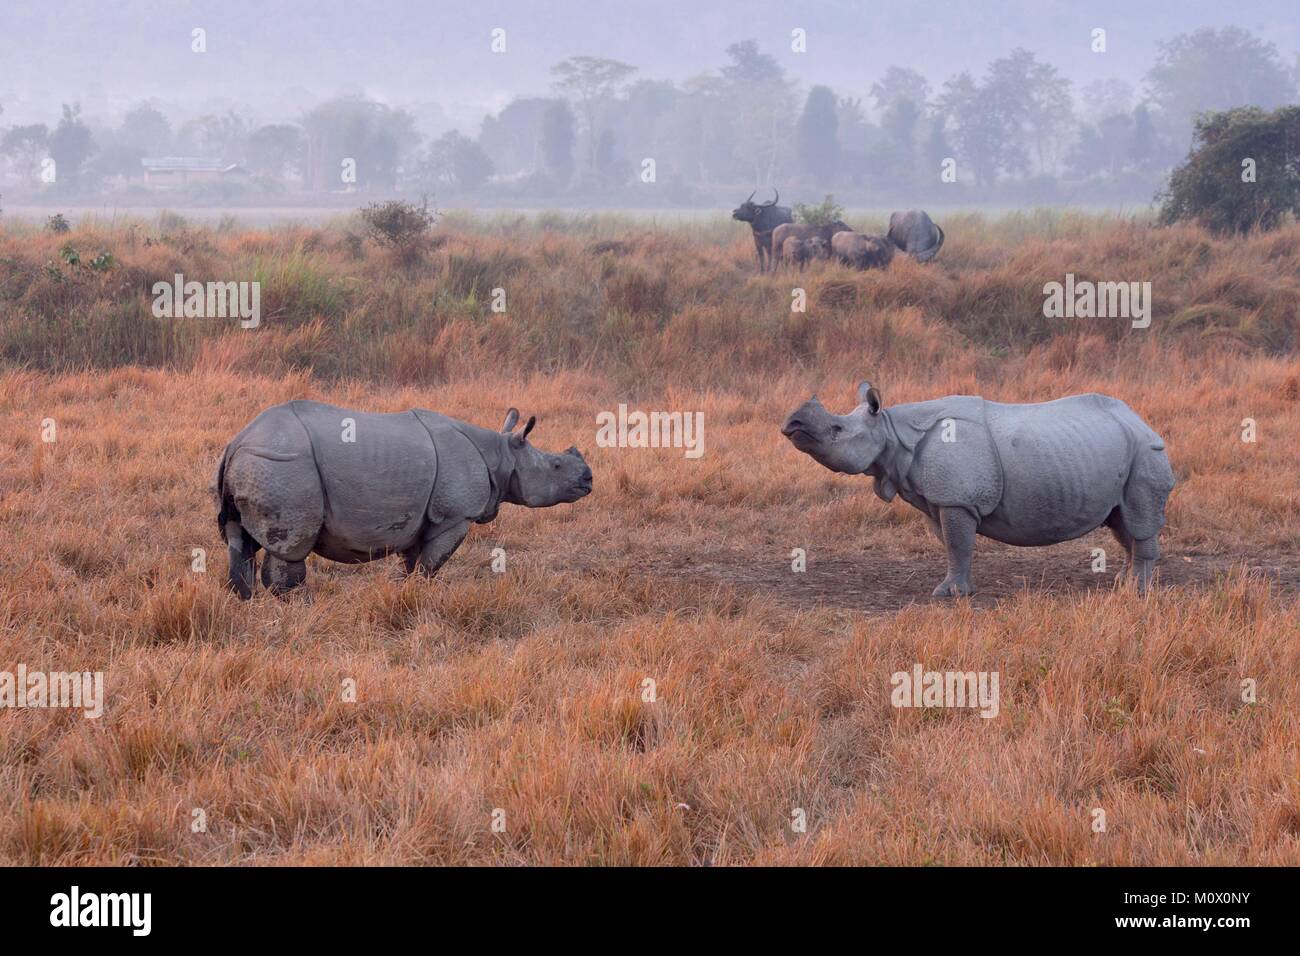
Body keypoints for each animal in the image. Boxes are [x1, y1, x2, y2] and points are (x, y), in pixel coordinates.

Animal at [213, 401, 593, 598]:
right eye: (556, 466)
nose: (588, 479)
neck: (501, 454)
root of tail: (236, 442)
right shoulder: (456, 516)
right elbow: (431, 563)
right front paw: (422, 594)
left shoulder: (422, 516)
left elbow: (412, 560)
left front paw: (401, 592)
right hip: (283, 464)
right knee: (289, 547)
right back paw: (292, 602)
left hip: (256, 464)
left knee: (237, 537)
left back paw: (244, 600)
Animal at [781, 383, 1176, 597]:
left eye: (837, 429)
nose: (791, 424)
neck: (892, 430)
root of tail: (1141, 421)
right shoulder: (939, 500)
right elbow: (952, 545)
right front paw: (959, 589)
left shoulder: (956, 499)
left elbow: (958, 545)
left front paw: (948, 595)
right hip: (1116, 451)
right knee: (1121, 520)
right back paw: (1124, 582)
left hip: (1146, 451)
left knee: (1138, 518)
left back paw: (1136, 590)